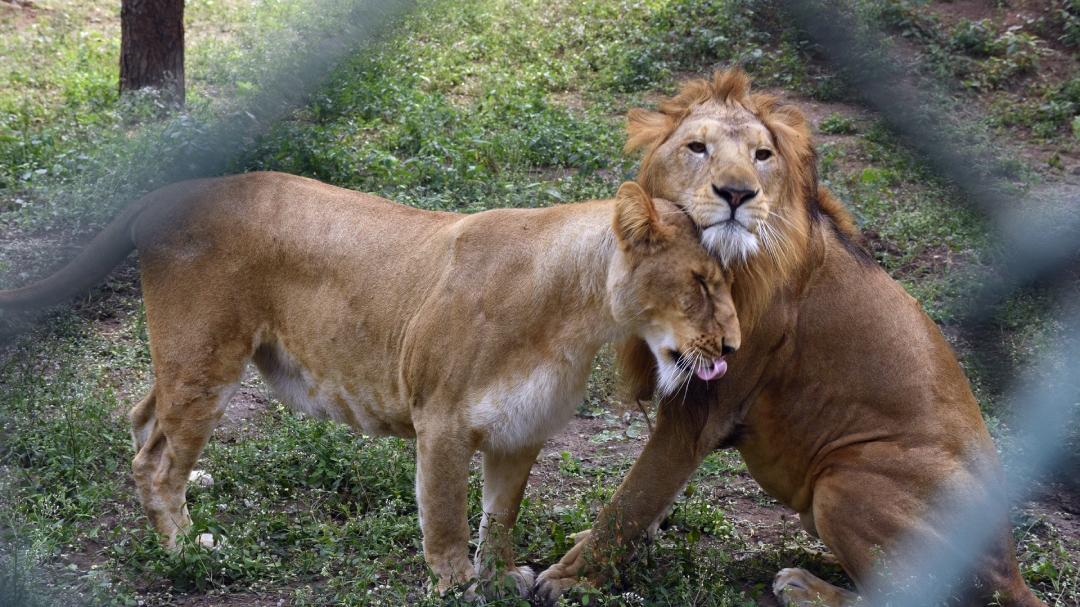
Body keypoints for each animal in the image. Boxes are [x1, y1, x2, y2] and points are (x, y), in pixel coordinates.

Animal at [0, 175, 740, 598]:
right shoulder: (442, 420)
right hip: (205, 358)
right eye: (701, 283)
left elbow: (499, 515)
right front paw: (456, 583)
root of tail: (159, 193)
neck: (576, 316)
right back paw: (186, 546)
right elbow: (444, 512)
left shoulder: (520, 431)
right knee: (154, 459)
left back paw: (192, 492)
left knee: (142, 416)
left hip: (189, 360)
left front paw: (500, 574)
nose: (734, 346)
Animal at [534, 70, 1047, 607]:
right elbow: (650, 495)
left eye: (762, 155)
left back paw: (803, 585)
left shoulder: (701, 405)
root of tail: (1013, 575)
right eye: (697, 147)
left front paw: (571, 578)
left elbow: (633, 497)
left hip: (843, 482)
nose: (737, 193)